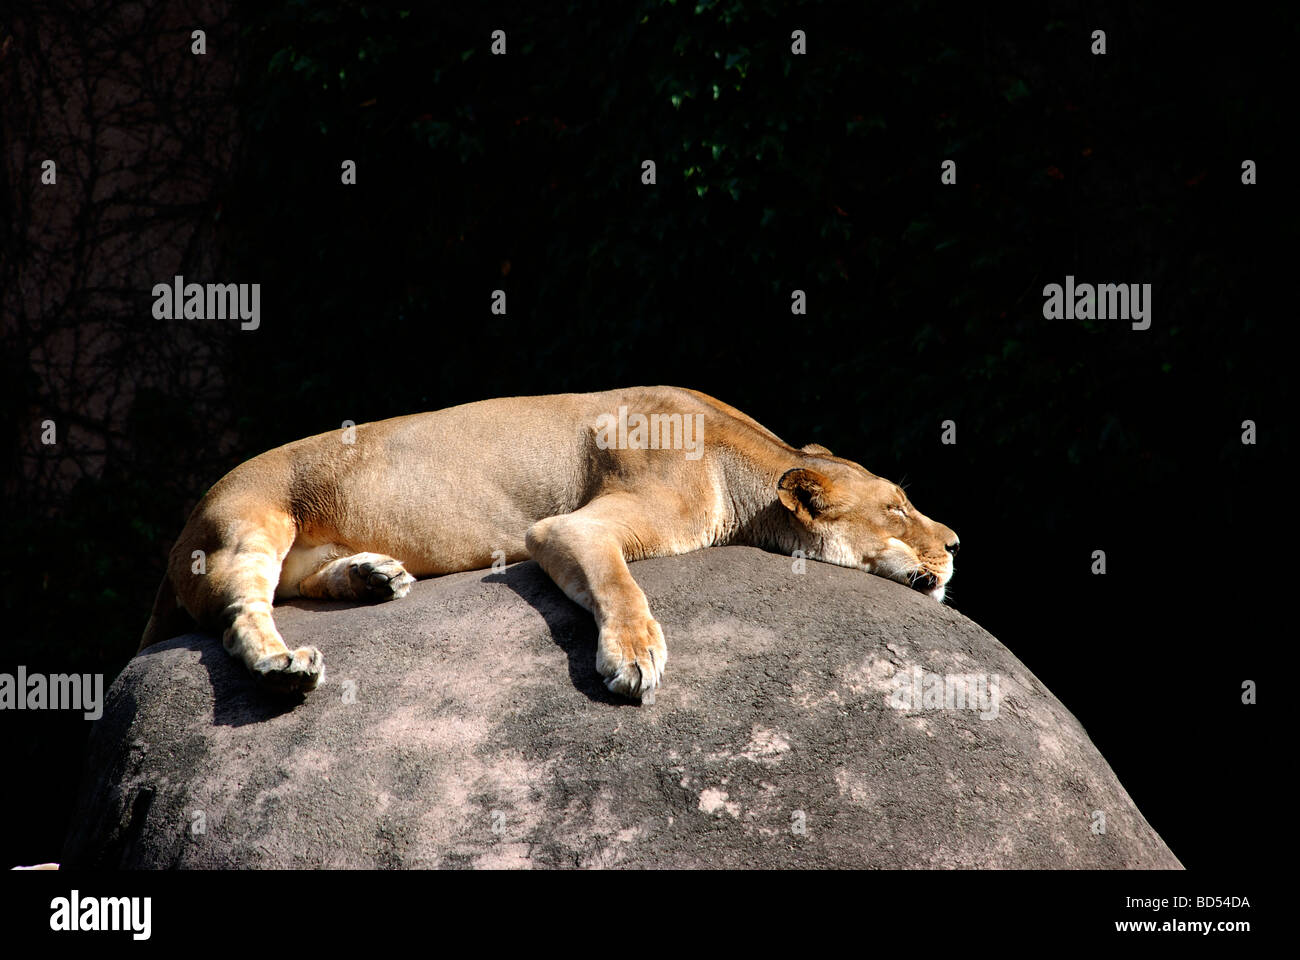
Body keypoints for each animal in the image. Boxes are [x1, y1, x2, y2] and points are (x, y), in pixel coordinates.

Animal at [140, 387, 959, 702]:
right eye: (897, 507)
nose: (957, 541)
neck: (746, 459)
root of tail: (184, 526)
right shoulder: (574, 525)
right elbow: (621, 584)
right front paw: (633, 657)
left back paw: (374, 577)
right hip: (248, 524)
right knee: (239, 613)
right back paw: (282, 665)